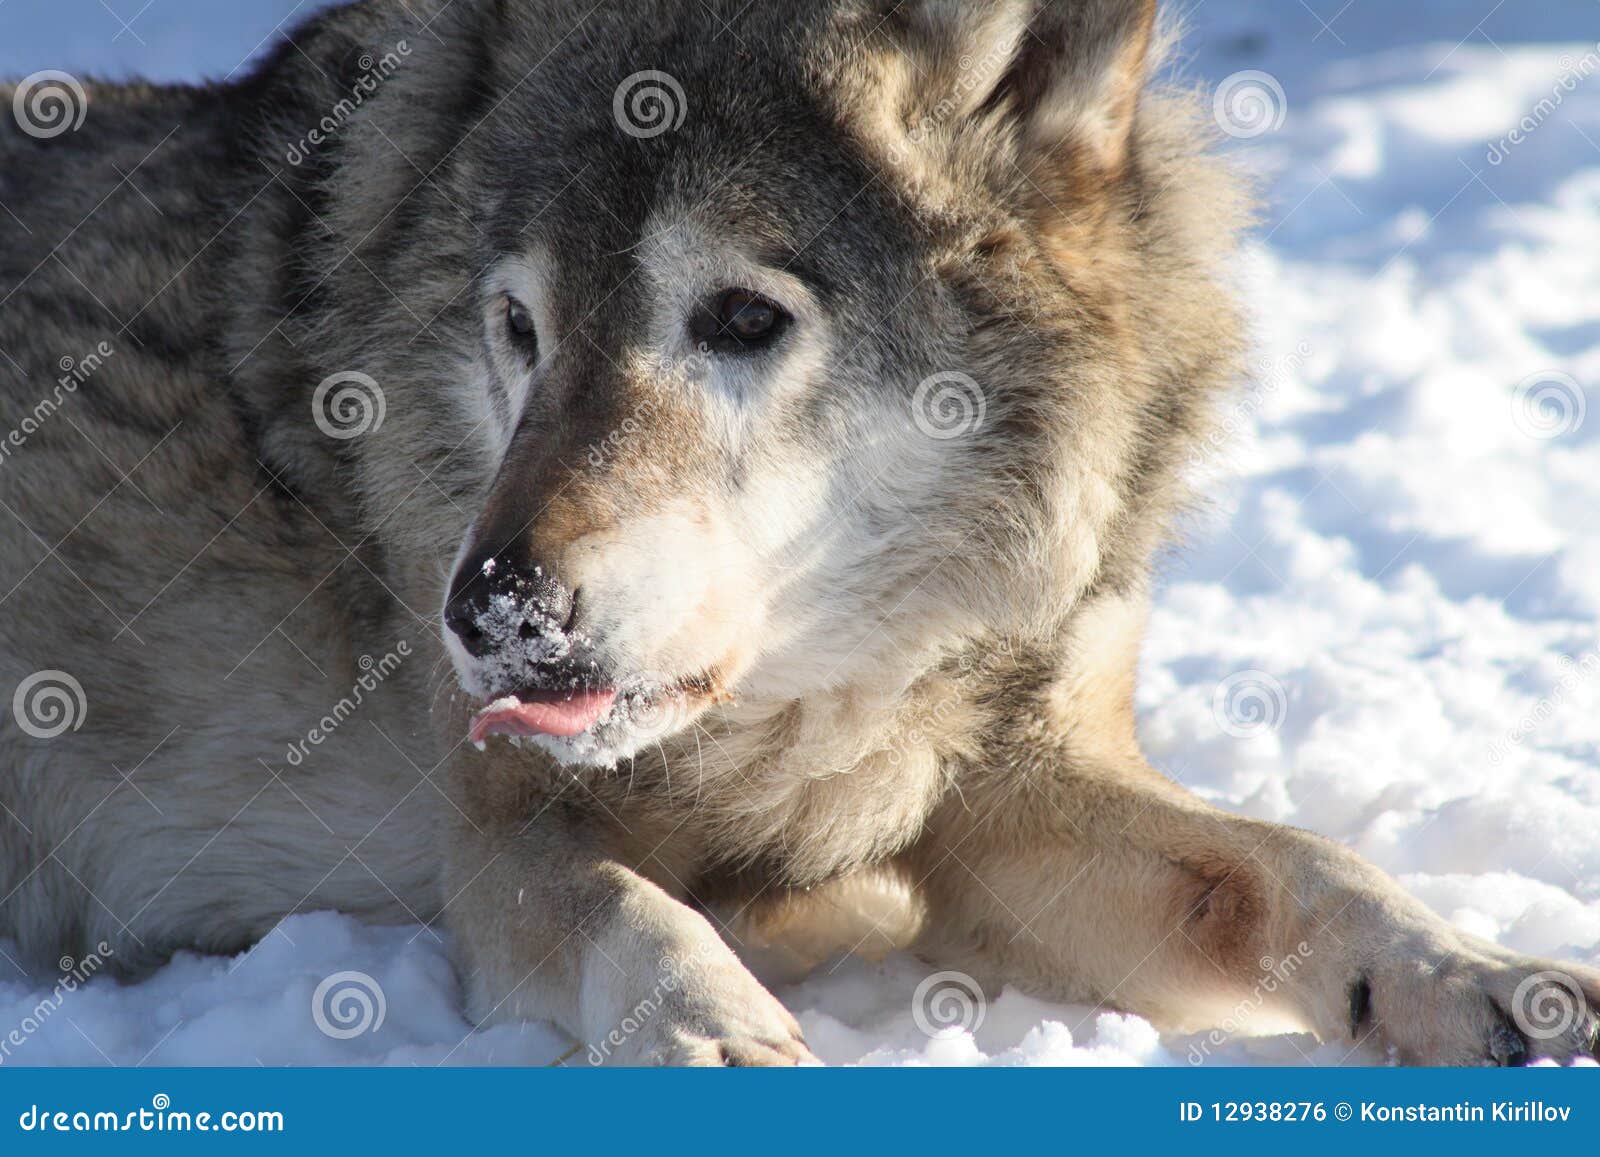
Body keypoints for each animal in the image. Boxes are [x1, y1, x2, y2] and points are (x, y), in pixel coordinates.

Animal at [0, 0, 1595, 1066]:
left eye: (740, 318)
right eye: (518, 329)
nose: (489, 611)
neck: (835, 672)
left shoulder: (1010, 800)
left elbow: (1294, 861)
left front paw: (1480, 976)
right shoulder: (509, 829)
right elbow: (638, 915)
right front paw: (727, 1042)